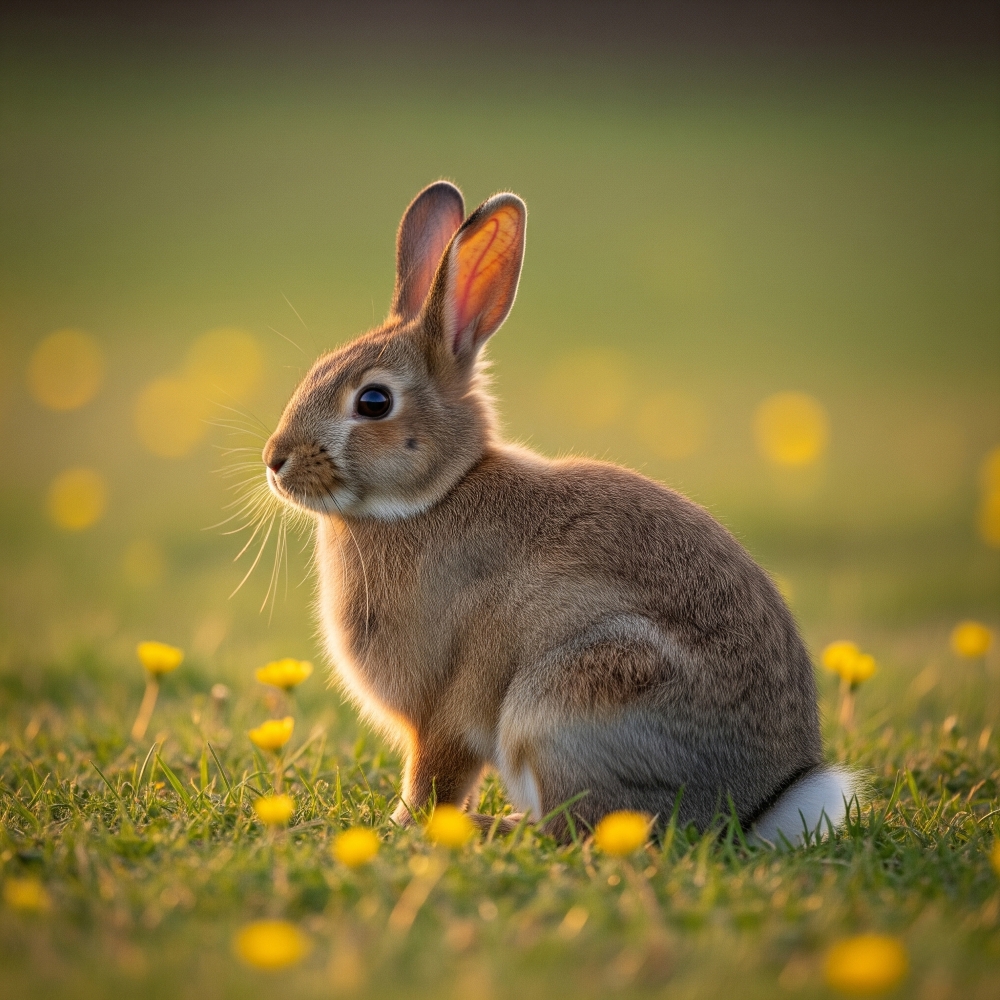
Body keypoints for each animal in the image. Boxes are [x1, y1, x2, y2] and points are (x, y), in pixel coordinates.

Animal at [262, 180, 856, 845]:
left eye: (373, 401)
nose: (275, 460)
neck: (432, 496)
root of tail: (749, 808)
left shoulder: (443, 715)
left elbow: (434, 779)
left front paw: (403, 827)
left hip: (564, 707)